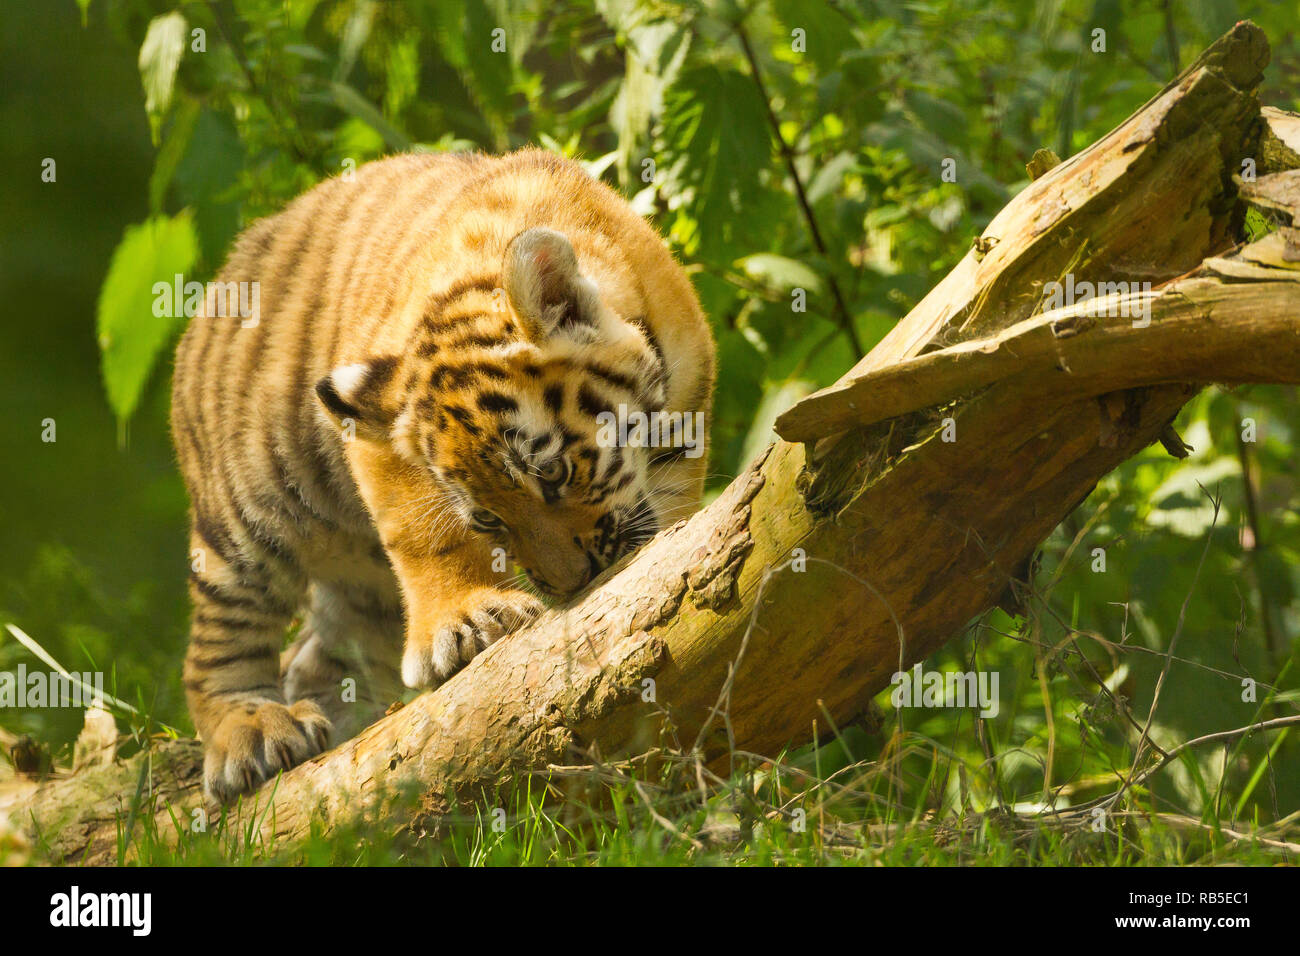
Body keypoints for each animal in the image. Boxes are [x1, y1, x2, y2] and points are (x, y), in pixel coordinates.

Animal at [170, 149, 715, 804]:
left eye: (553, 472)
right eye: (486, 517)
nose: (570, 583)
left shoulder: (686, 408)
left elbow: (670, 498)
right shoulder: (378, 443)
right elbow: (425, 537)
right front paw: (461, 624)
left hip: (357, 586)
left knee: (325, 649)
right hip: (246, 515)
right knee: (218, 641)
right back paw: (251, 732)